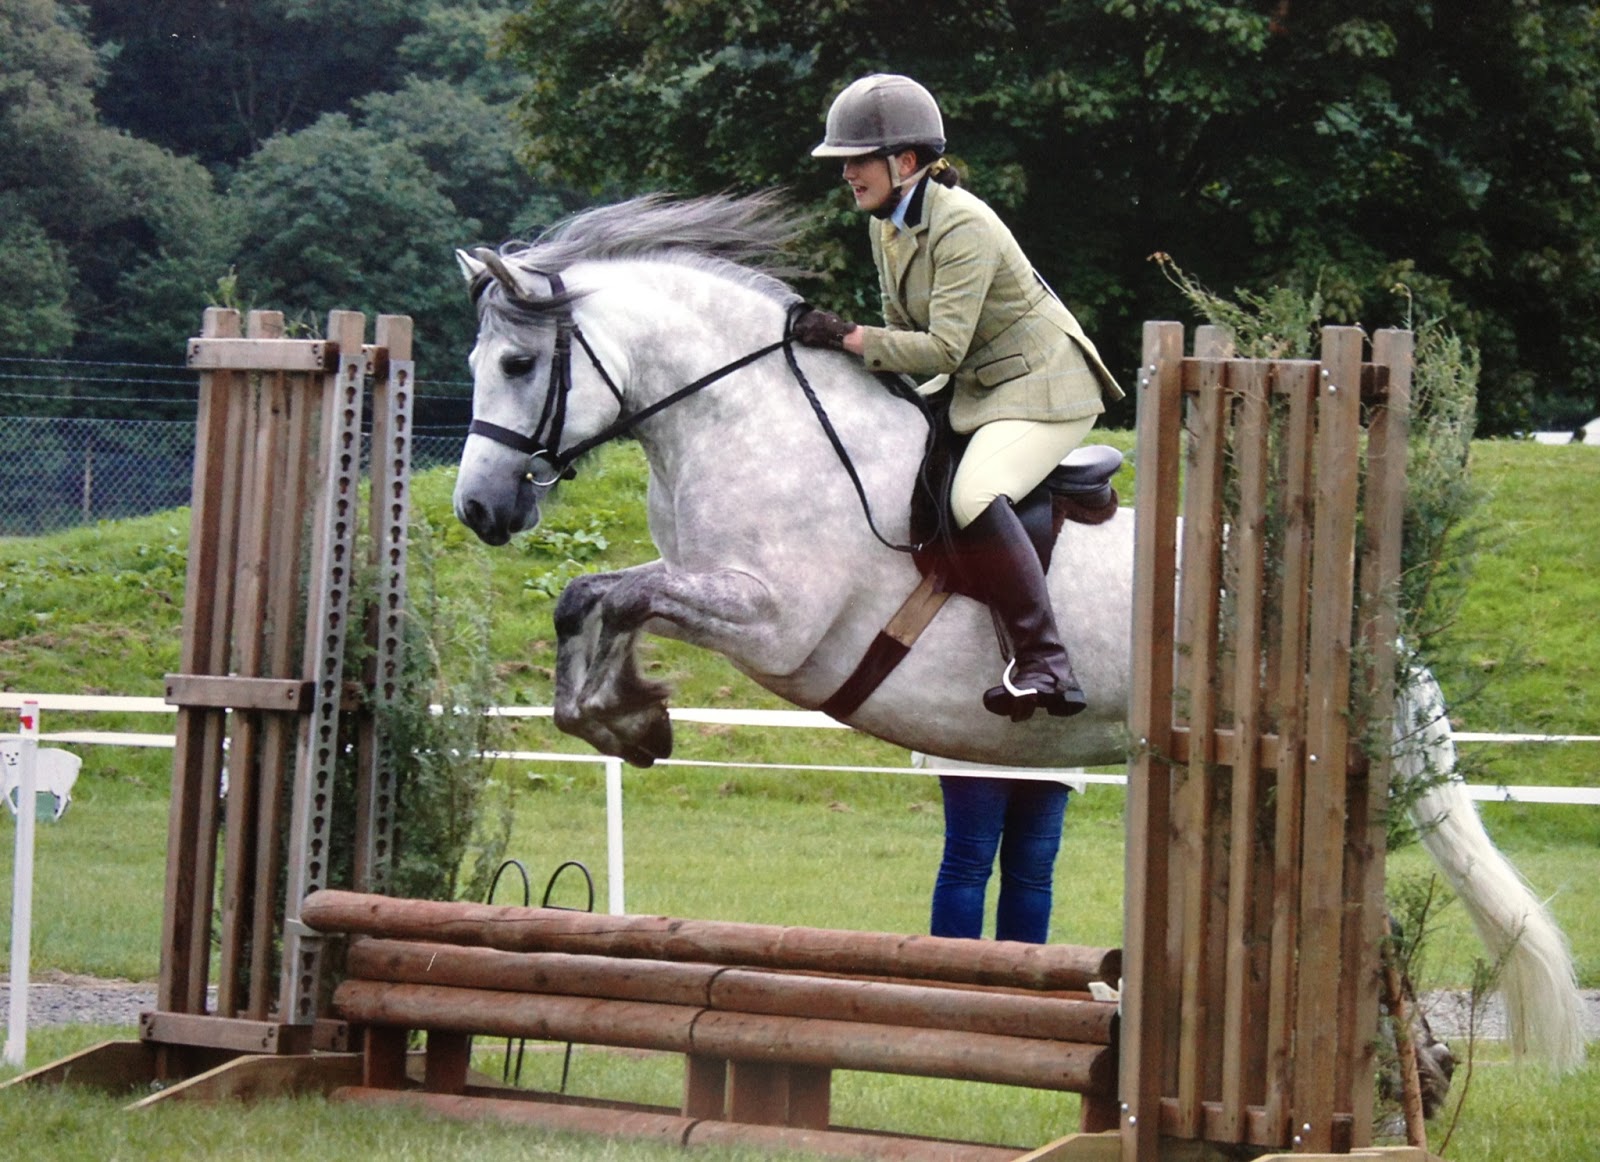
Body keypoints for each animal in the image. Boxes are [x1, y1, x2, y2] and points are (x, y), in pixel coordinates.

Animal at [451, 192, 1585, 1070]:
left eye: (514, 364)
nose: (479, 510)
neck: (748, 418)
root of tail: (1357, 623)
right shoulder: (713, 593)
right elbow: (591, 599)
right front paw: (625, 720)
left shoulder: (772, 618)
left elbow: (609, 594)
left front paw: (630, 715)